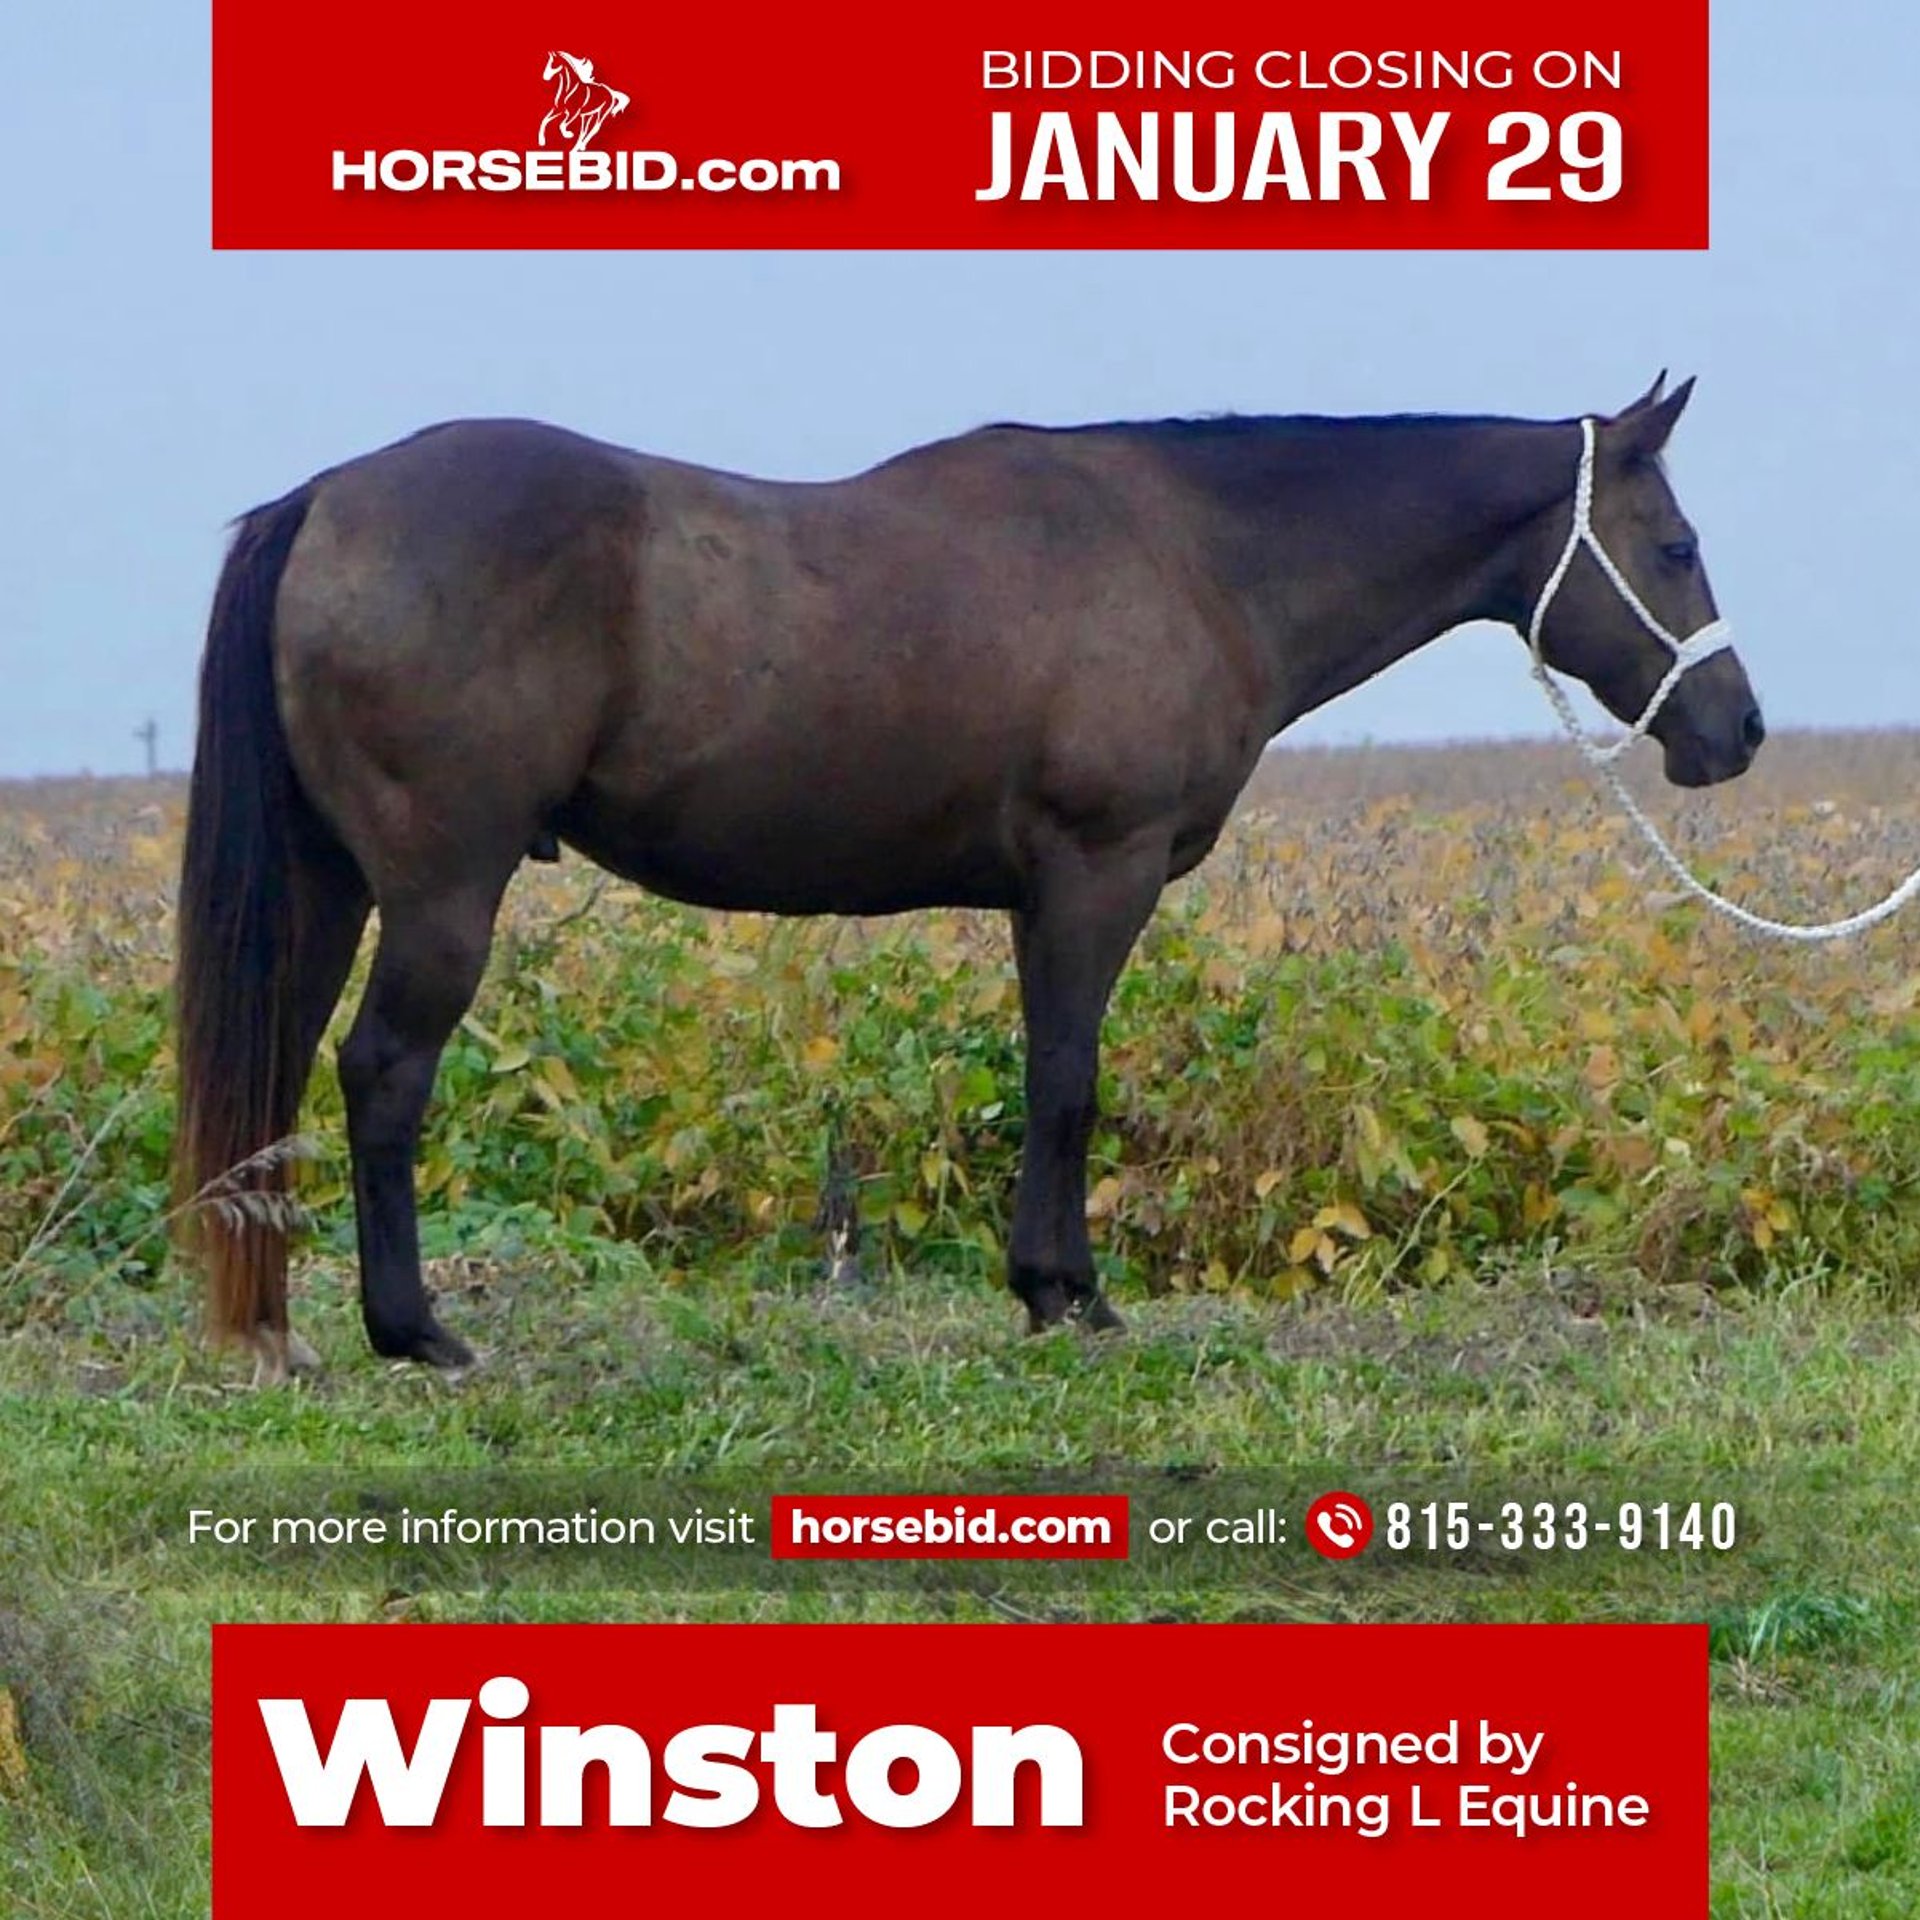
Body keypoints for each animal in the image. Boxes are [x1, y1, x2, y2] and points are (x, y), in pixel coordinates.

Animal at [174, 376, 1763, 1381]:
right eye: (1676, 545)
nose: (1735, 729)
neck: (1198, 554)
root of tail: (330, 500)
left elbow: (1047, 1073)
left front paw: (1049, 1285)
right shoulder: (1096, 875)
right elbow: (1068, 1079)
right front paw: (1067, 1296)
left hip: (333, 885)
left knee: (280, 1070)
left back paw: (280, 1327)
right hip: (444, 889)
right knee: (381, 1075)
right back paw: (415, 1332)